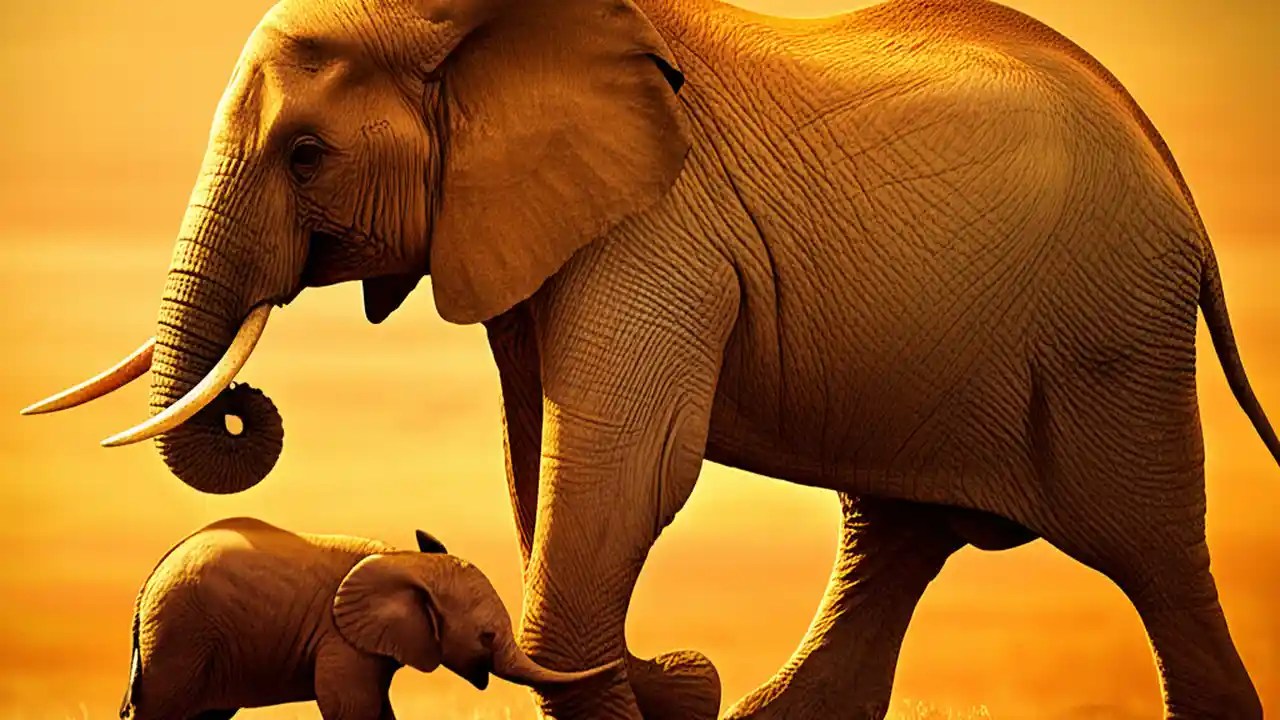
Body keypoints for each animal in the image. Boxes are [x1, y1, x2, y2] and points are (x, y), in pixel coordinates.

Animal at [119, 518, 616, 720]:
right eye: (487, 636)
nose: (617, 667)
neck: (406, 560)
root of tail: (145, 591)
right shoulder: (340, 641)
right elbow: (351, 709)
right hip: (180, 639)